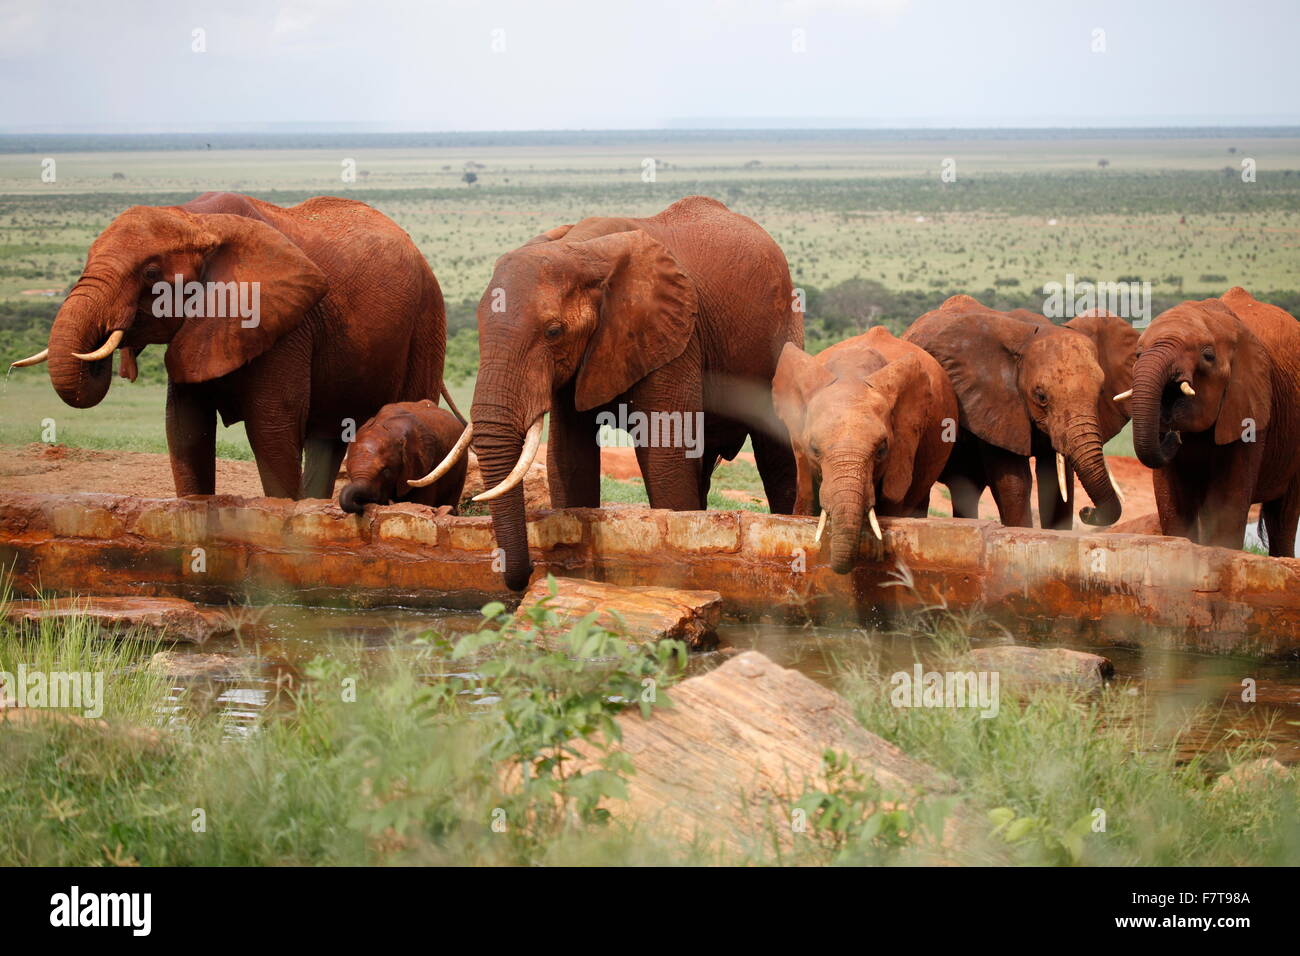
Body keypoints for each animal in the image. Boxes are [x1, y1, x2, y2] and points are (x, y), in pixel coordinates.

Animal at [10, 192, 456, 500]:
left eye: (151, 273)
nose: (108, 338)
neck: (195, 217)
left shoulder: (285, 323)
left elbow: (270, 427)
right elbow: (184, 427)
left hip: (427, 317)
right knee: (329, 434)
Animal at [415, 195, 802, 590]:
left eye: (553, 332)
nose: (527, 574)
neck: (579, 250)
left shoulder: (673, 337)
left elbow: (664, 456)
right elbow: (568, 456)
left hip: (784, 327)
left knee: (776, 454)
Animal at [903, 295, 1136, 529]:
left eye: (1100, 393)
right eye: (1041, 397)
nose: (1087, 511)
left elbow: (1056, 485)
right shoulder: (994, 406)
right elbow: (1015, 482)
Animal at [1125, 287, 1300, 554]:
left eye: (1208, 356)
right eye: (1137, 354)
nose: (1173, 435)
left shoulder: (1249, 405)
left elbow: (1226, 504)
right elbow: (1173, 503)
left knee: (1283, 518)